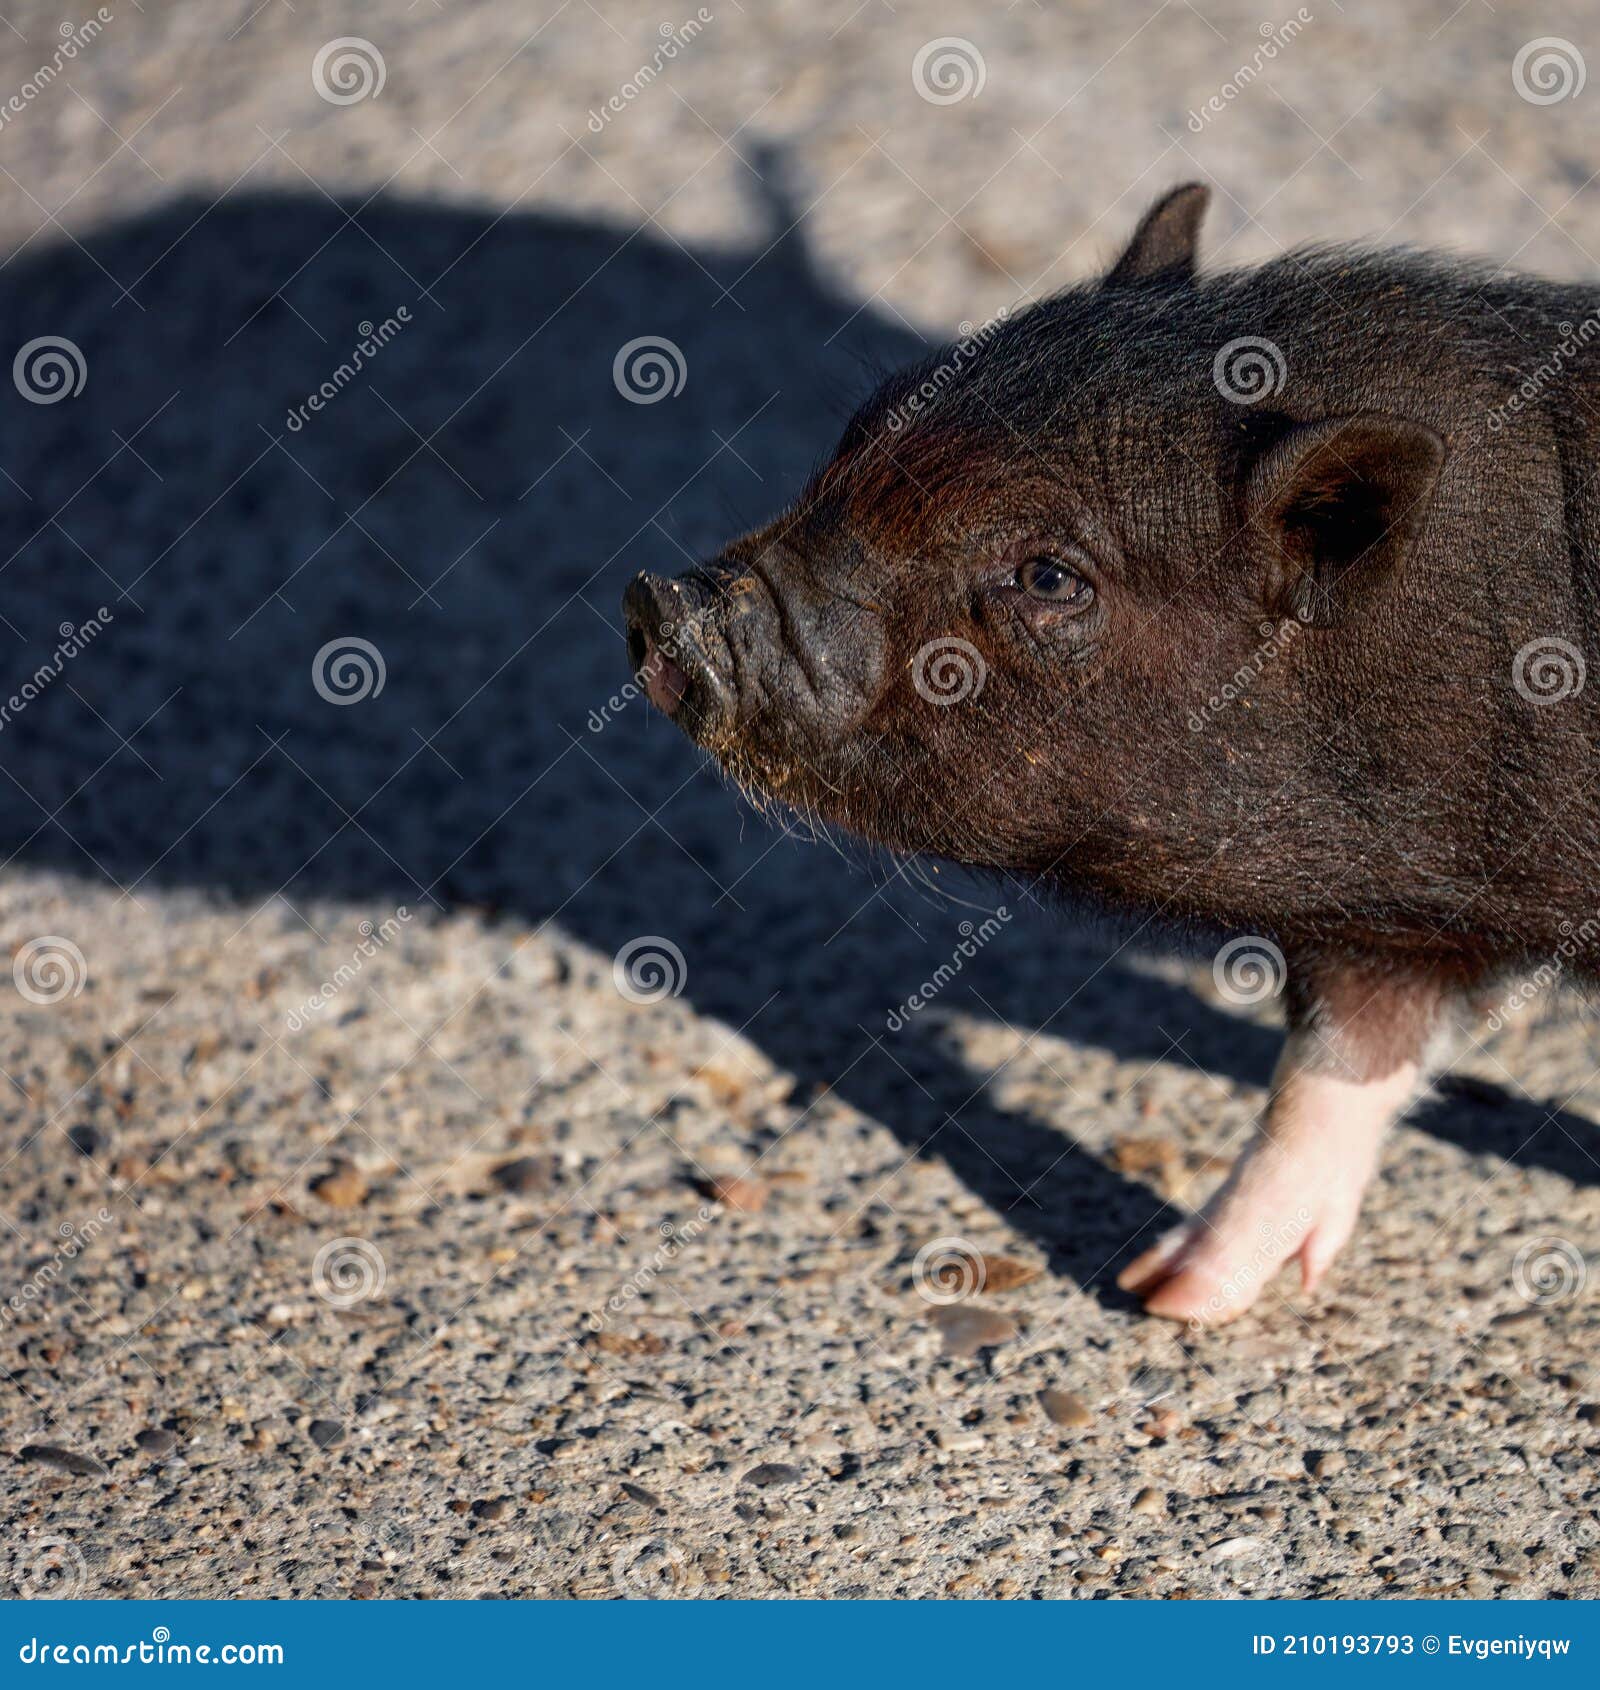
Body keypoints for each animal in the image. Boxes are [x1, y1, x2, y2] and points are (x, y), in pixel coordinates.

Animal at [622, 183, 1600, 1324]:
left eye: (1048, 576)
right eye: (860, 434)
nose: (666, 603)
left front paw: (1156, 1297)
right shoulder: (1397, 900)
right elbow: (1340, 1055)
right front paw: (1166, 1293)